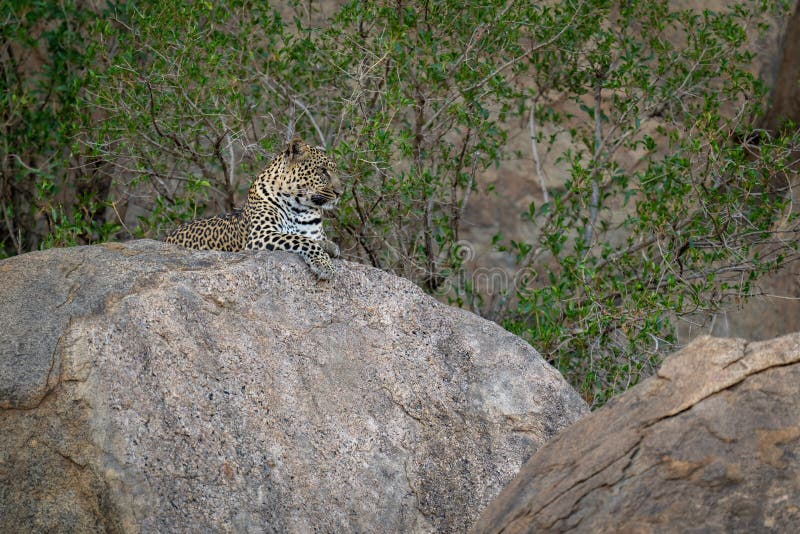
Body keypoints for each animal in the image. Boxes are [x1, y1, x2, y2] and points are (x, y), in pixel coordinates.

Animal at [164, 138, 342, 279]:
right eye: (322, 171)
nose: (340, 192)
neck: (299, 208)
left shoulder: (310, 232)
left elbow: (312, 238)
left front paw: (330, 247)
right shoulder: (260, 235)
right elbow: (302, 240)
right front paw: (324, 265)